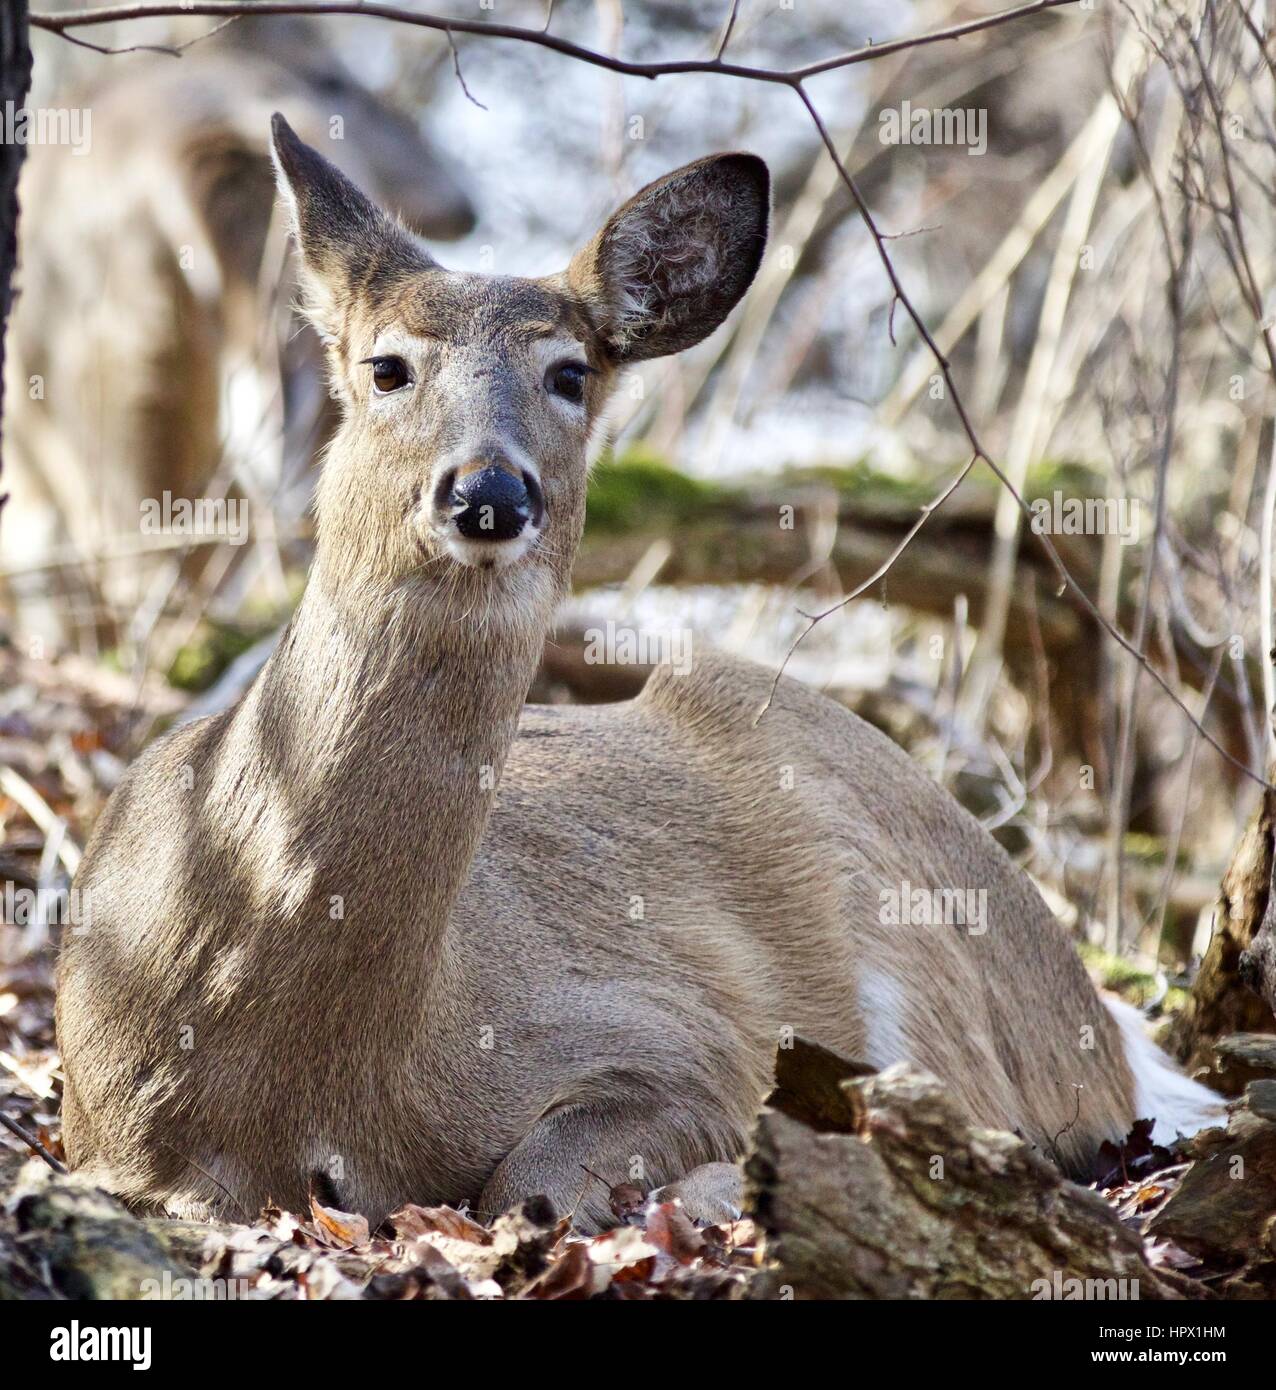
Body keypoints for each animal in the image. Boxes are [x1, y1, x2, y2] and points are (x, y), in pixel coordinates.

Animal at [55, 115, 1222, 1234]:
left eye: (570, 373)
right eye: (387, 367)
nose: (489, 491)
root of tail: (1093, 1010)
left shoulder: (689, 1038)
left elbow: (528, 1179)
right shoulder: (106, 1134)